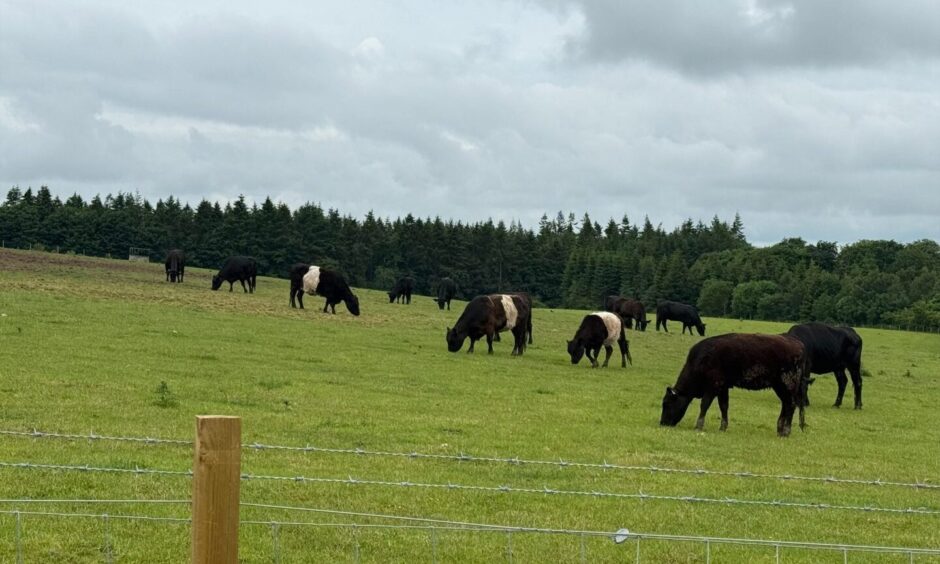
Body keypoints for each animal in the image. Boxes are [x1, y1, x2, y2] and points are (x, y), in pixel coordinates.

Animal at [660, 333, 810, 437]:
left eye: (667, 403)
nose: (662, 423)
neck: (701, 360)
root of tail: (798, 343)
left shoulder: (713, 385)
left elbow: (705, 404)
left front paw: (698, 426)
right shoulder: (723, 387)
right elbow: (724, 406)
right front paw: (723, 427)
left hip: (788, 383)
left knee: (791, 405)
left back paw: (786, 431)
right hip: (779, 385)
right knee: (786, 404)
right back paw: (779, 429)